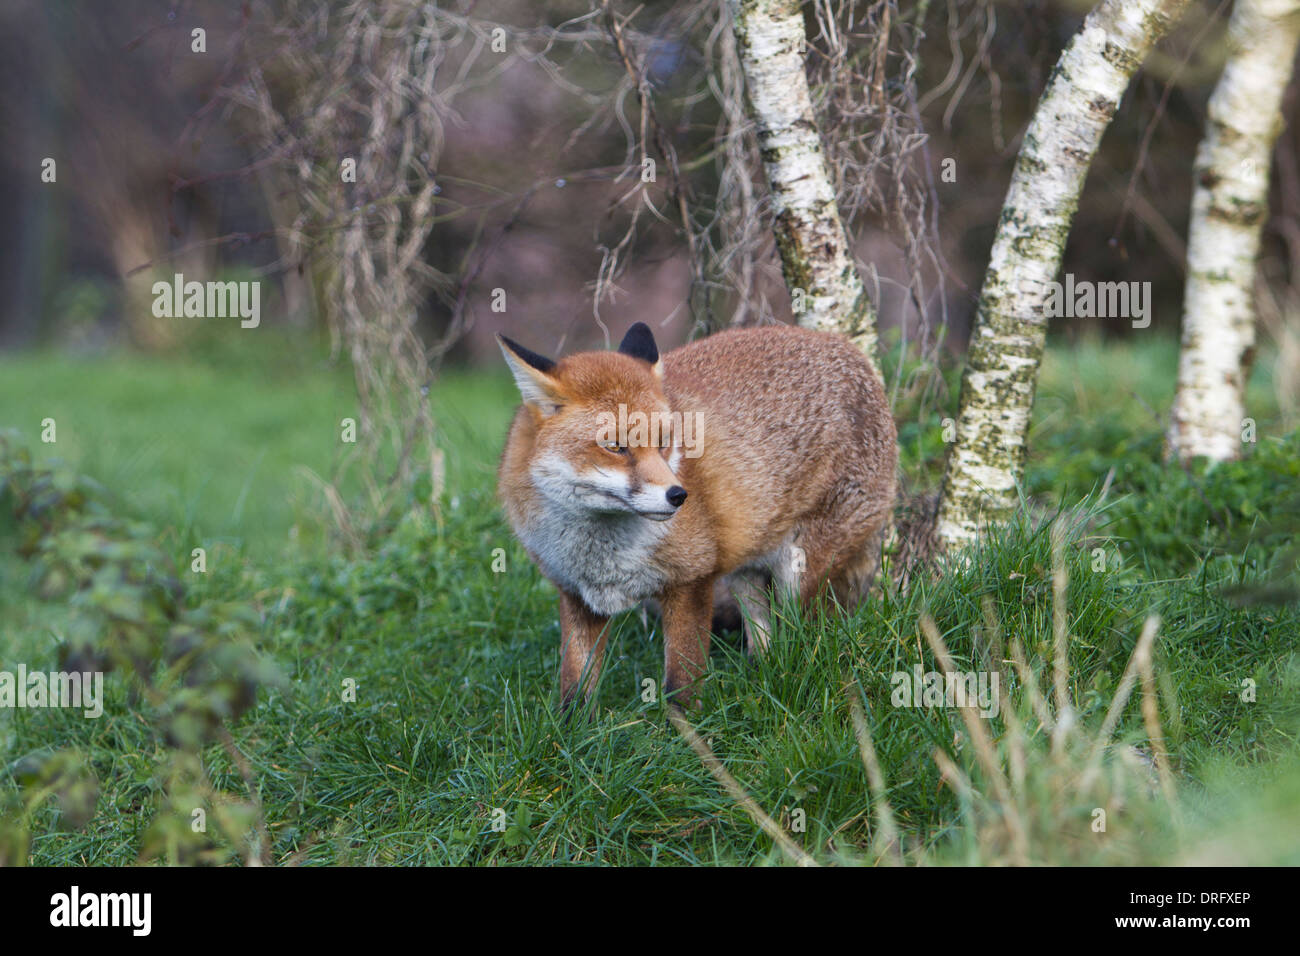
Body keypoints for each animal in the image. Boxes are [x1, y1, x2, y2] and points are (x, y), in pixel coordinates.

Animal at [497, 322, 897, 711]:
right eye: (615, 446)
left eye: (663, 442)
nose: (678, 496)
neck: (602, 552)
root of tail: (850, 350)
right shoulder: (577, 595)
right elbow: (574, 690)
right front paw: (572, 731)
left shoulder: (692, 581)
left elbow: (680, 687)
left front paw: (684, 732)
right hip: (744, 572)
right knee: (765, 639)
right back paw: (761, 676)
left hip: (800, 574)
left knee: (807, 637)